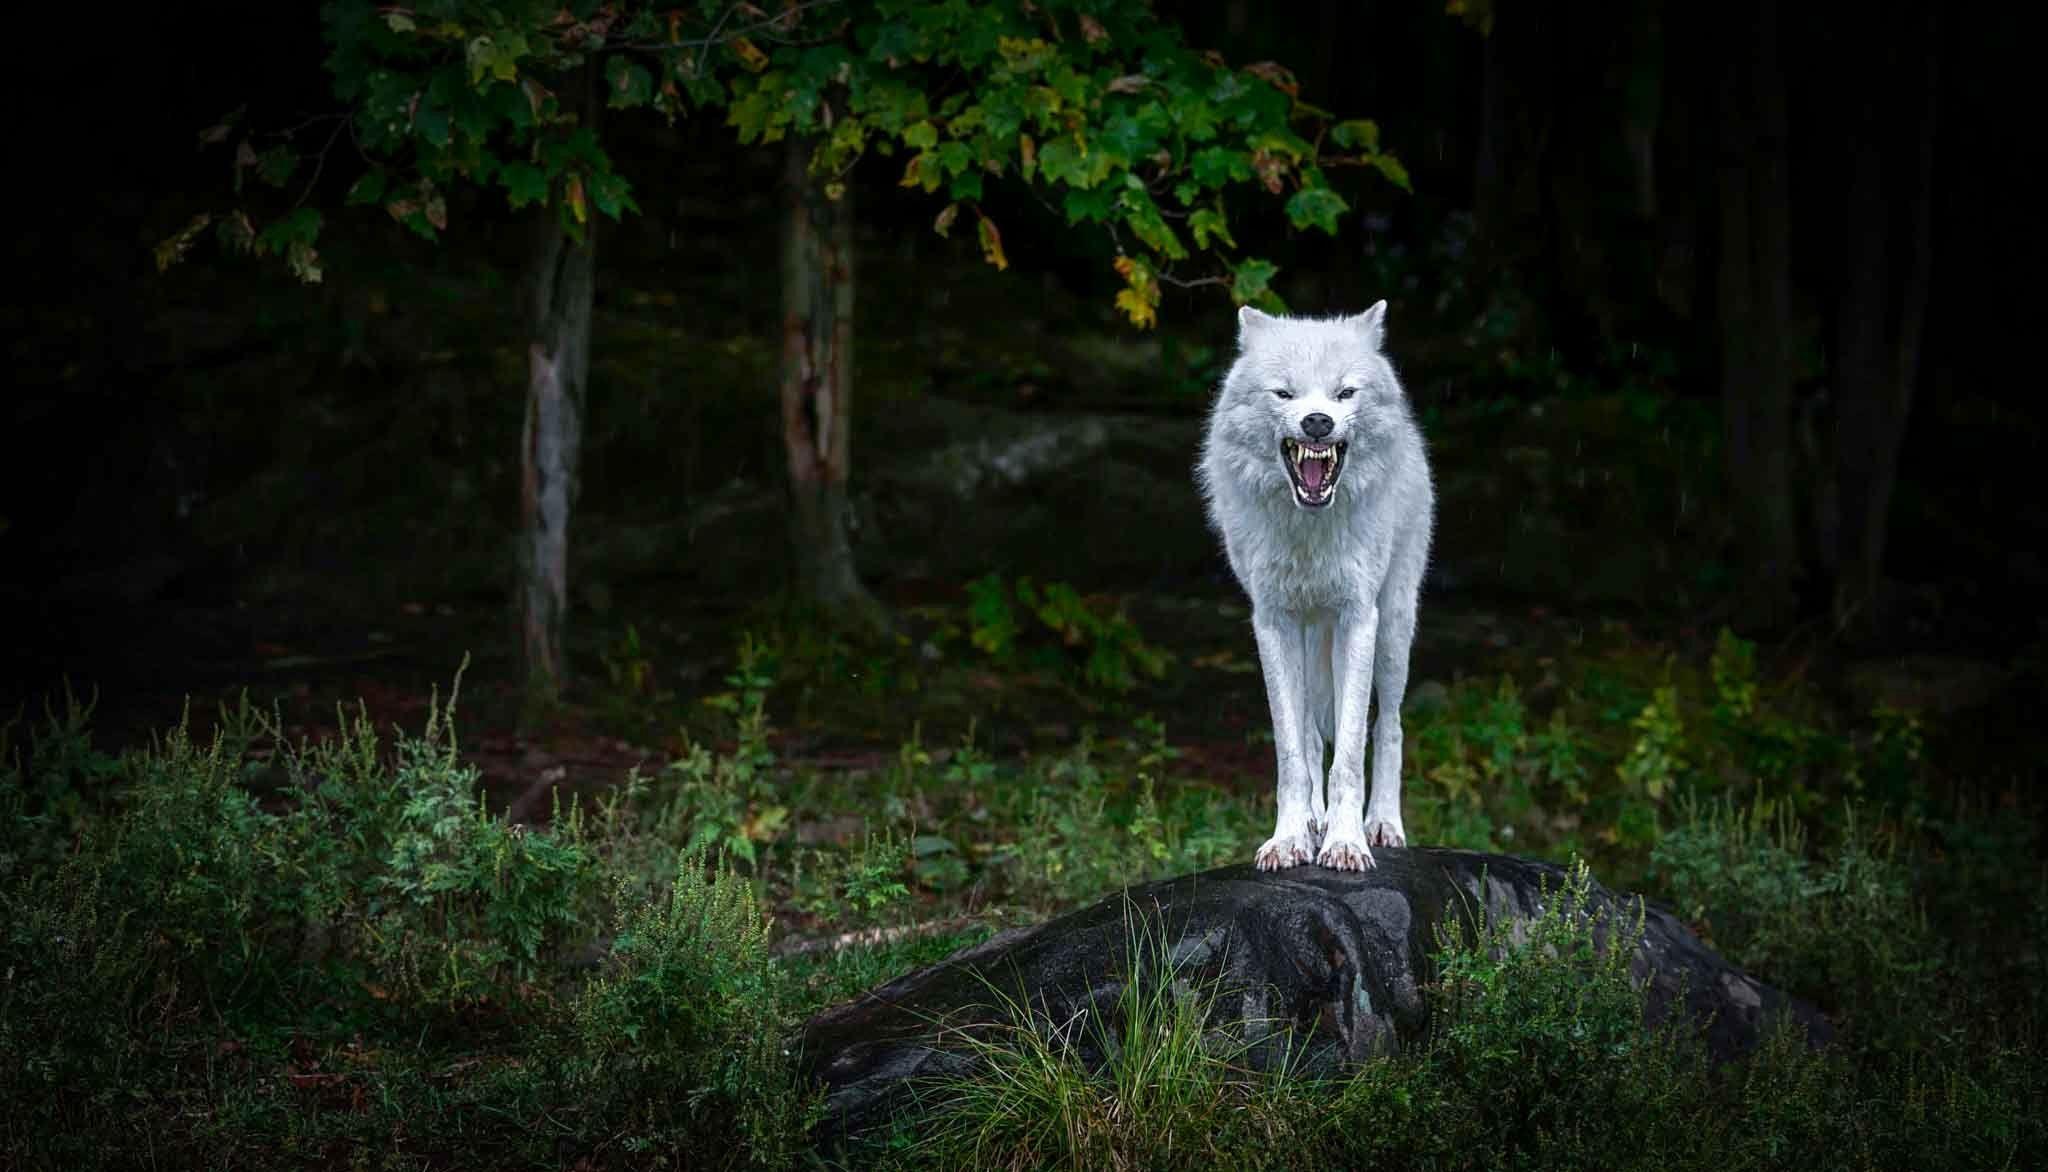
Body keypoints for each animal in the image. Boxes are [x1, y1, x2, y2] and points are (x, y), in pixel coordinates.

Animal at [1197, 302, 1435, 872]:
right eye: (1284, 394)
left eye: (1344, 393)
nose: (1317, 421)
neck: (1310, 529)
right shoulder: (1271, 621)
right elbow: (1292, 752)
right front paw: (1290, 839)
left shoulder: (1358, 617)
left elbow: (1349, 751)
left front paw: (1346, 843)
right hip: (1307, 636)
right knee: (1307, 734)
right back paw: (1313, 821)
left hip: (1393, 631)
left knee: (1389, 725)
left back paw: (1383, 824)